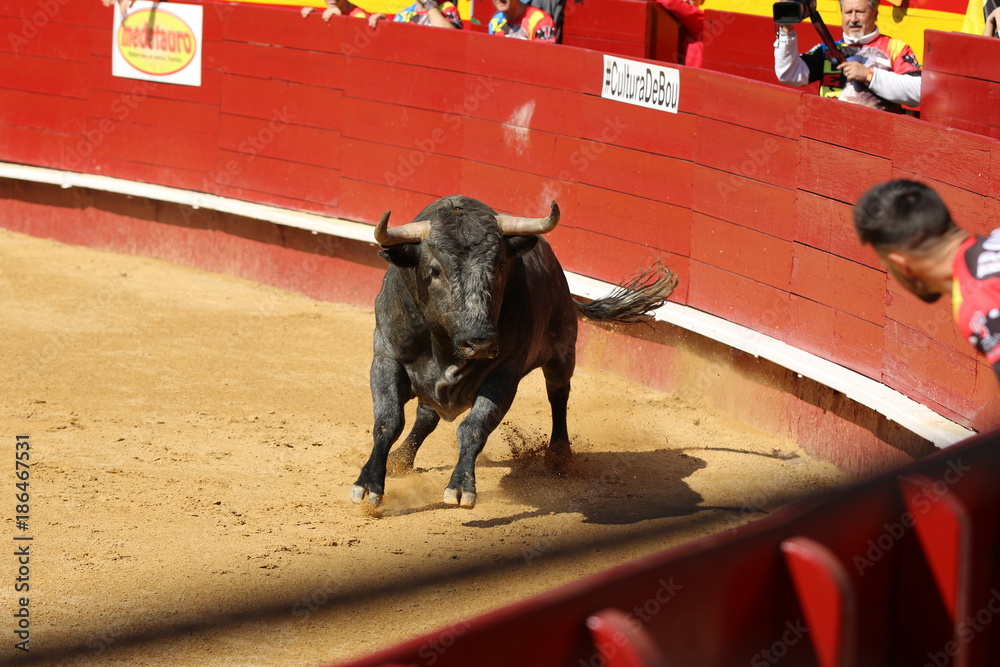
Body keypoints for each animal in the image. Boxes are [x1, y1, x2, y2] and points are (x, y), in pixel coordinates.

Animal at [350, 195, 677, 509]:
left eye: (500, 267)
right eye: (435, 270)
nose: (479, 342)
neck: (446, 347)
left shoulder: (504, 372)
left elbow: (474, 426)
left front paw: (461, 487)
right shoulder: (386, 357)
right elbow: (388, 421)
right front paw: (368, 485)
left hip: (563, 354)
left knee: (558, 396)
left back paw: (559, 456)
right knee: (427, 414)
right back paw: (401, 459)